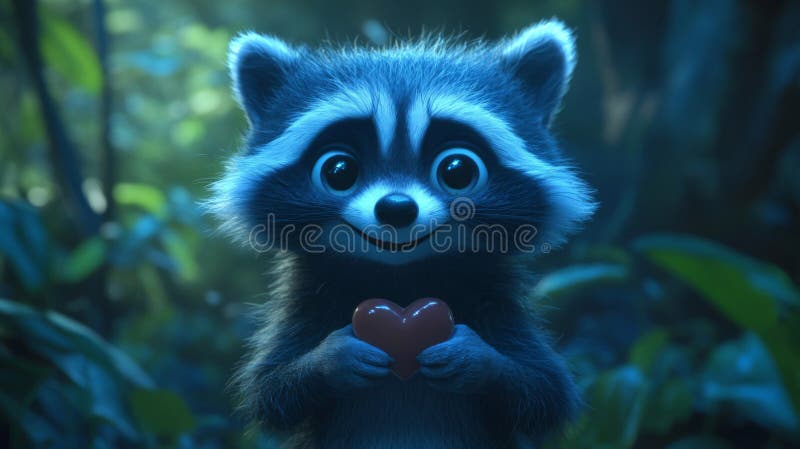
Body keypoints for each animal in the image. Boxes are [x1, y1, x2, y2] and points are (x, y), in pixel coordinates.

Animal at [208, 19, 595, 449]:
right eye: (338, 171)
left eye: (458, 170)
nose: (396, 208)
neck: (401, 277)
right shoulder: (307, 306)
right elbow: (271, 392)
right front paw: (332, 358)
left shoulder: (497, 306)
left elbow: (544, 393)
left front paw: (477, 357)